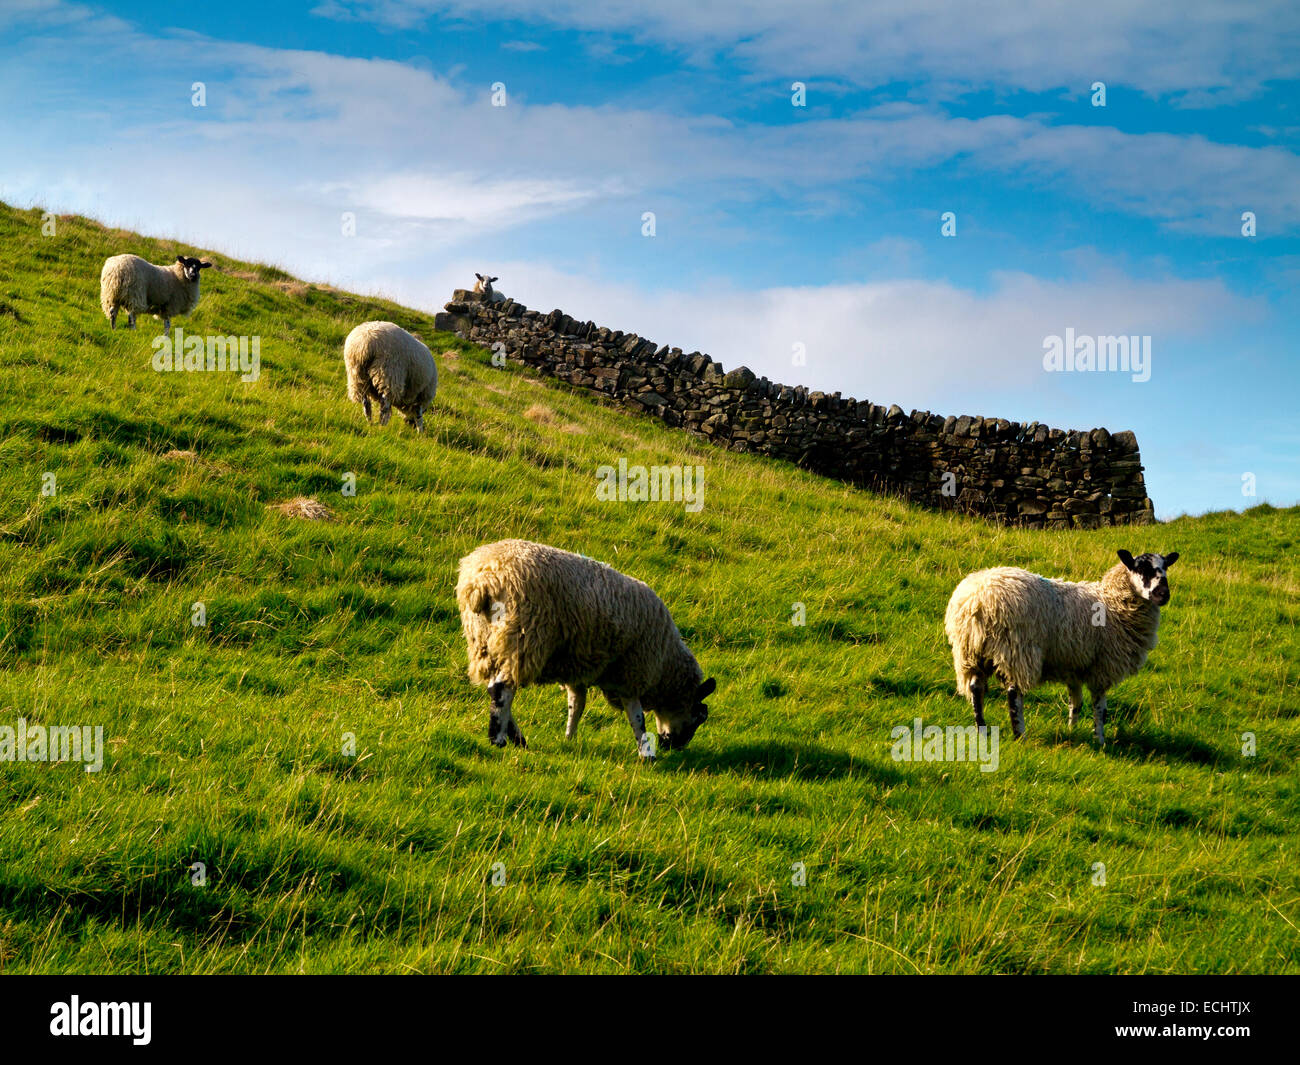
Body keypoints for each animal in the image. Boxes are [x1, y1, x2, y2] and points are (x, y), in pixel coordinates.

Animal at [456, 539, 715, 760]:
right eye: (699, 717)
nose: (674, 747)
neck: (665, 666)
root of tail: (482, 581)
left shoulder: (578, 671)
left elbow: (577, 705)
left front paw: (569, 738)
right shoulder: (631, 672)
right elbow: (637, 717)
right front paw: (646, 753)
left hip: (486, 642)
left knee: (493, 687)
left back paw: (518, 738)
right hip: (522, 638)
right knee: (502, 688)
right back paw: (498, 739)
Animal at [944, 550, 1180, 746]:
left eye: (1165, 568)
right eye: (1141, 568)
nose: (1163, 594)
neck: (1112, 601)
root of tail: (977, 600)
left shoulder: (1073, 666)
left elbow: (1076, 703)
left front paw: (1071, 731)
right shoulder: (1101, 667)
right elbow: (1100, 708)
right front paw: (1100, 740)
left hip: (971, 654)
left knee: (976, 688)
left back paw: (982, 731)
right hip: (1017, 649)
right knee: (1014, 693)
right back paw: (1020, 735)